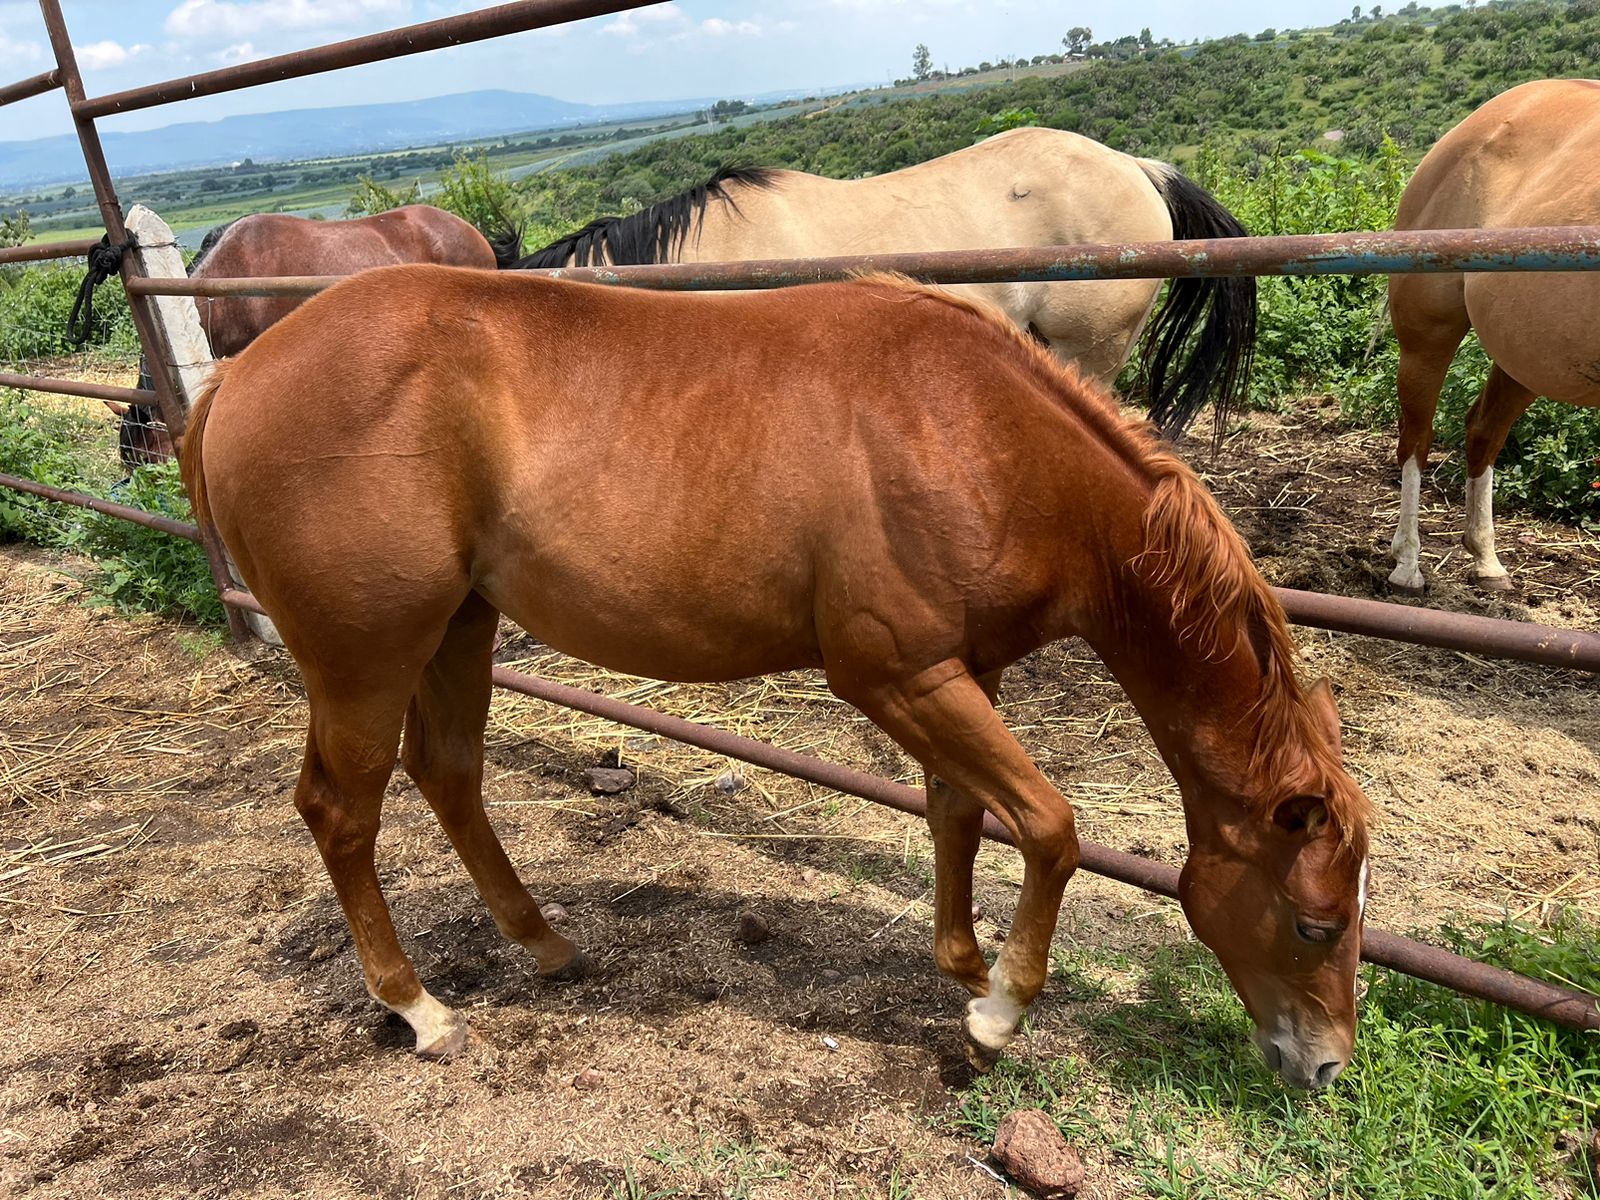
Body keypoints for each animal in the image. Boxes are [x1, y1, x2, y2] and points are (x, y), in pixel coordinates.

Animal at [183, 267, 1370, 1090]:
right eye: (1316, 924)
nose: (1324, 1066)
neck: (976, 433)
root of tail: (238, 374)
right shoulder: (894, 676)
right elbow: (1048, 825)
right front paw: (1001, 1011)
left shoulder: (959, 673)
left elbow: (959, 816)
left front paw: (965, 969)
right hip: (366, 658)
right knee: (342, 811)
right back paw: (417, 1007)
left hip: (459, 631)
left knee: (451, 775)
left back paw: (545, 944)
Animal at [1389, 78, 1600, 592]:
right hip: (1427, 337)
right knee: (1416, 440)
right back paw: (1408, 563)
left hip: (1525, 357)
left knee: (1483, 431)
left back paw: (1485, 557)